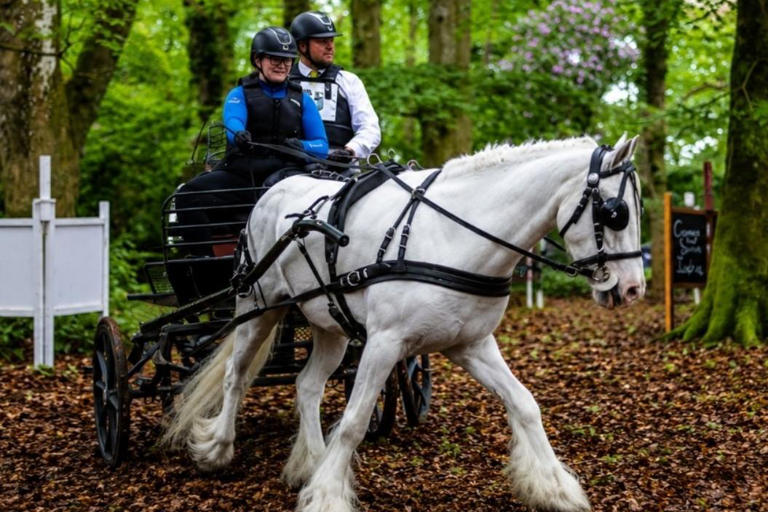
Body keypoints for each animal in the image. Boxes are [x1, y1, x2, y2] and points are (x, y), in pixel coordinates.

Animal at [163, 134, 644, 512]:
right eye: (615, 212)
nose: (632, 289)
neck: (452, 236)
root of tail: (273, 189)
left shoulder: (471, 344)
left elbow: (525, 404)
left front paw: (555, 488)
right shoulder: (383, 344)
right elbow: (355, 421)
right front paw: (328, 497)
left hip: (329, 326)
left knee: (307, 385)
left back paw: (311, 463)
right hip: (257, 306)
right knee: (236, 374)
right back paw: (217, 448)